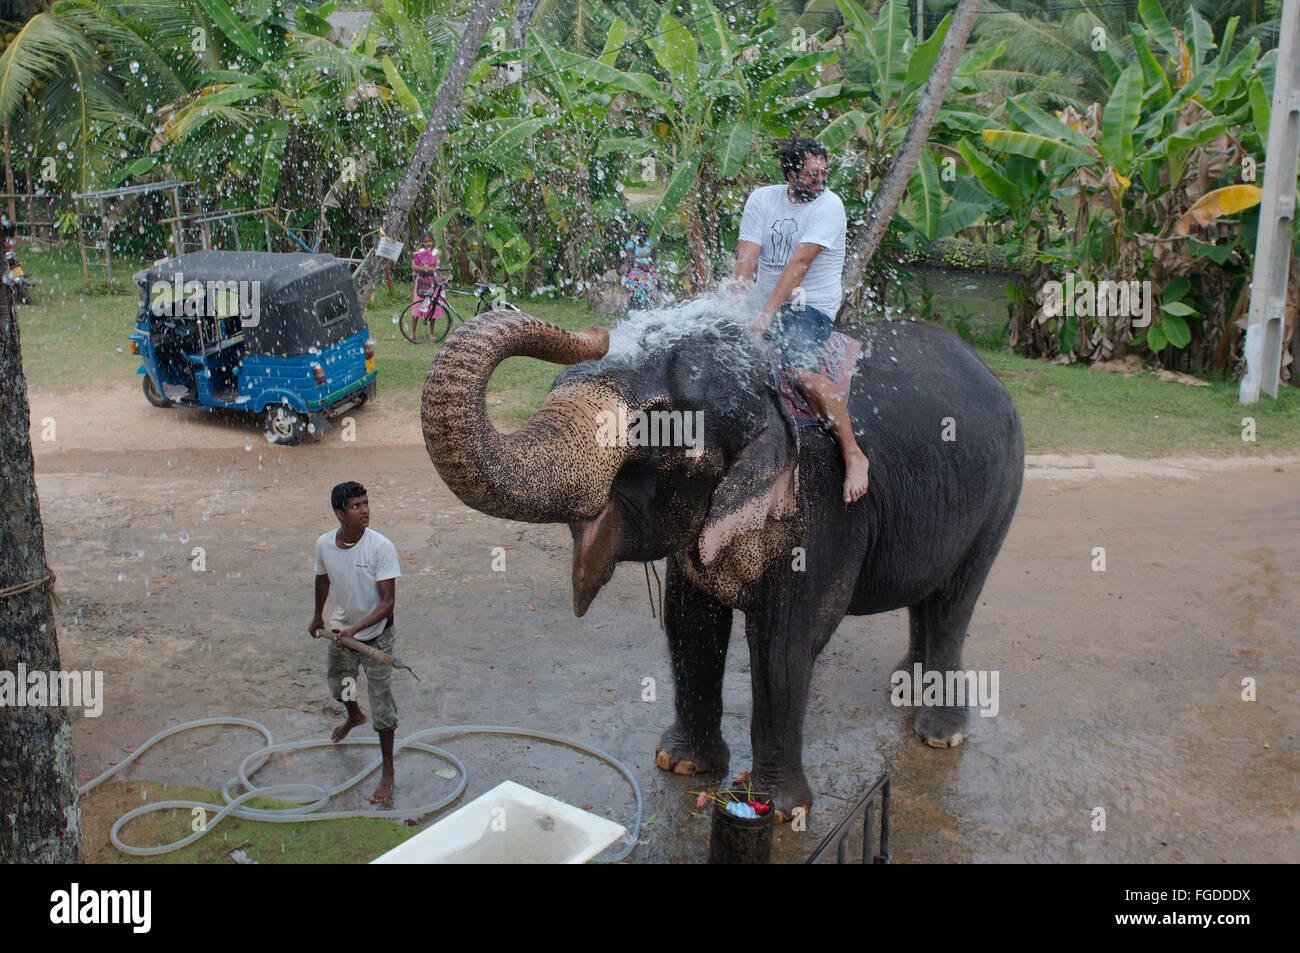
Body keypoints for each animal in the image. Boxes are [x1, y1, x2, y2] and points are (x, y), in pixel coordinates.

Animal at [422, 304, 1023, 821]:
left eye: (650, 429)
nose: (597, 332)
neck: (762, 389)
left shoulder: (825, 509)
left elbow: (784, 642)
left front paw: (777, 810)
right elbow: (689, 620)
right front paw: (683, 765)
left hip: (1002, 492)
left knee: (954, 601)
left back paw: (939, 731)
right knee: (931, 598)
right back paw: (904, 686)